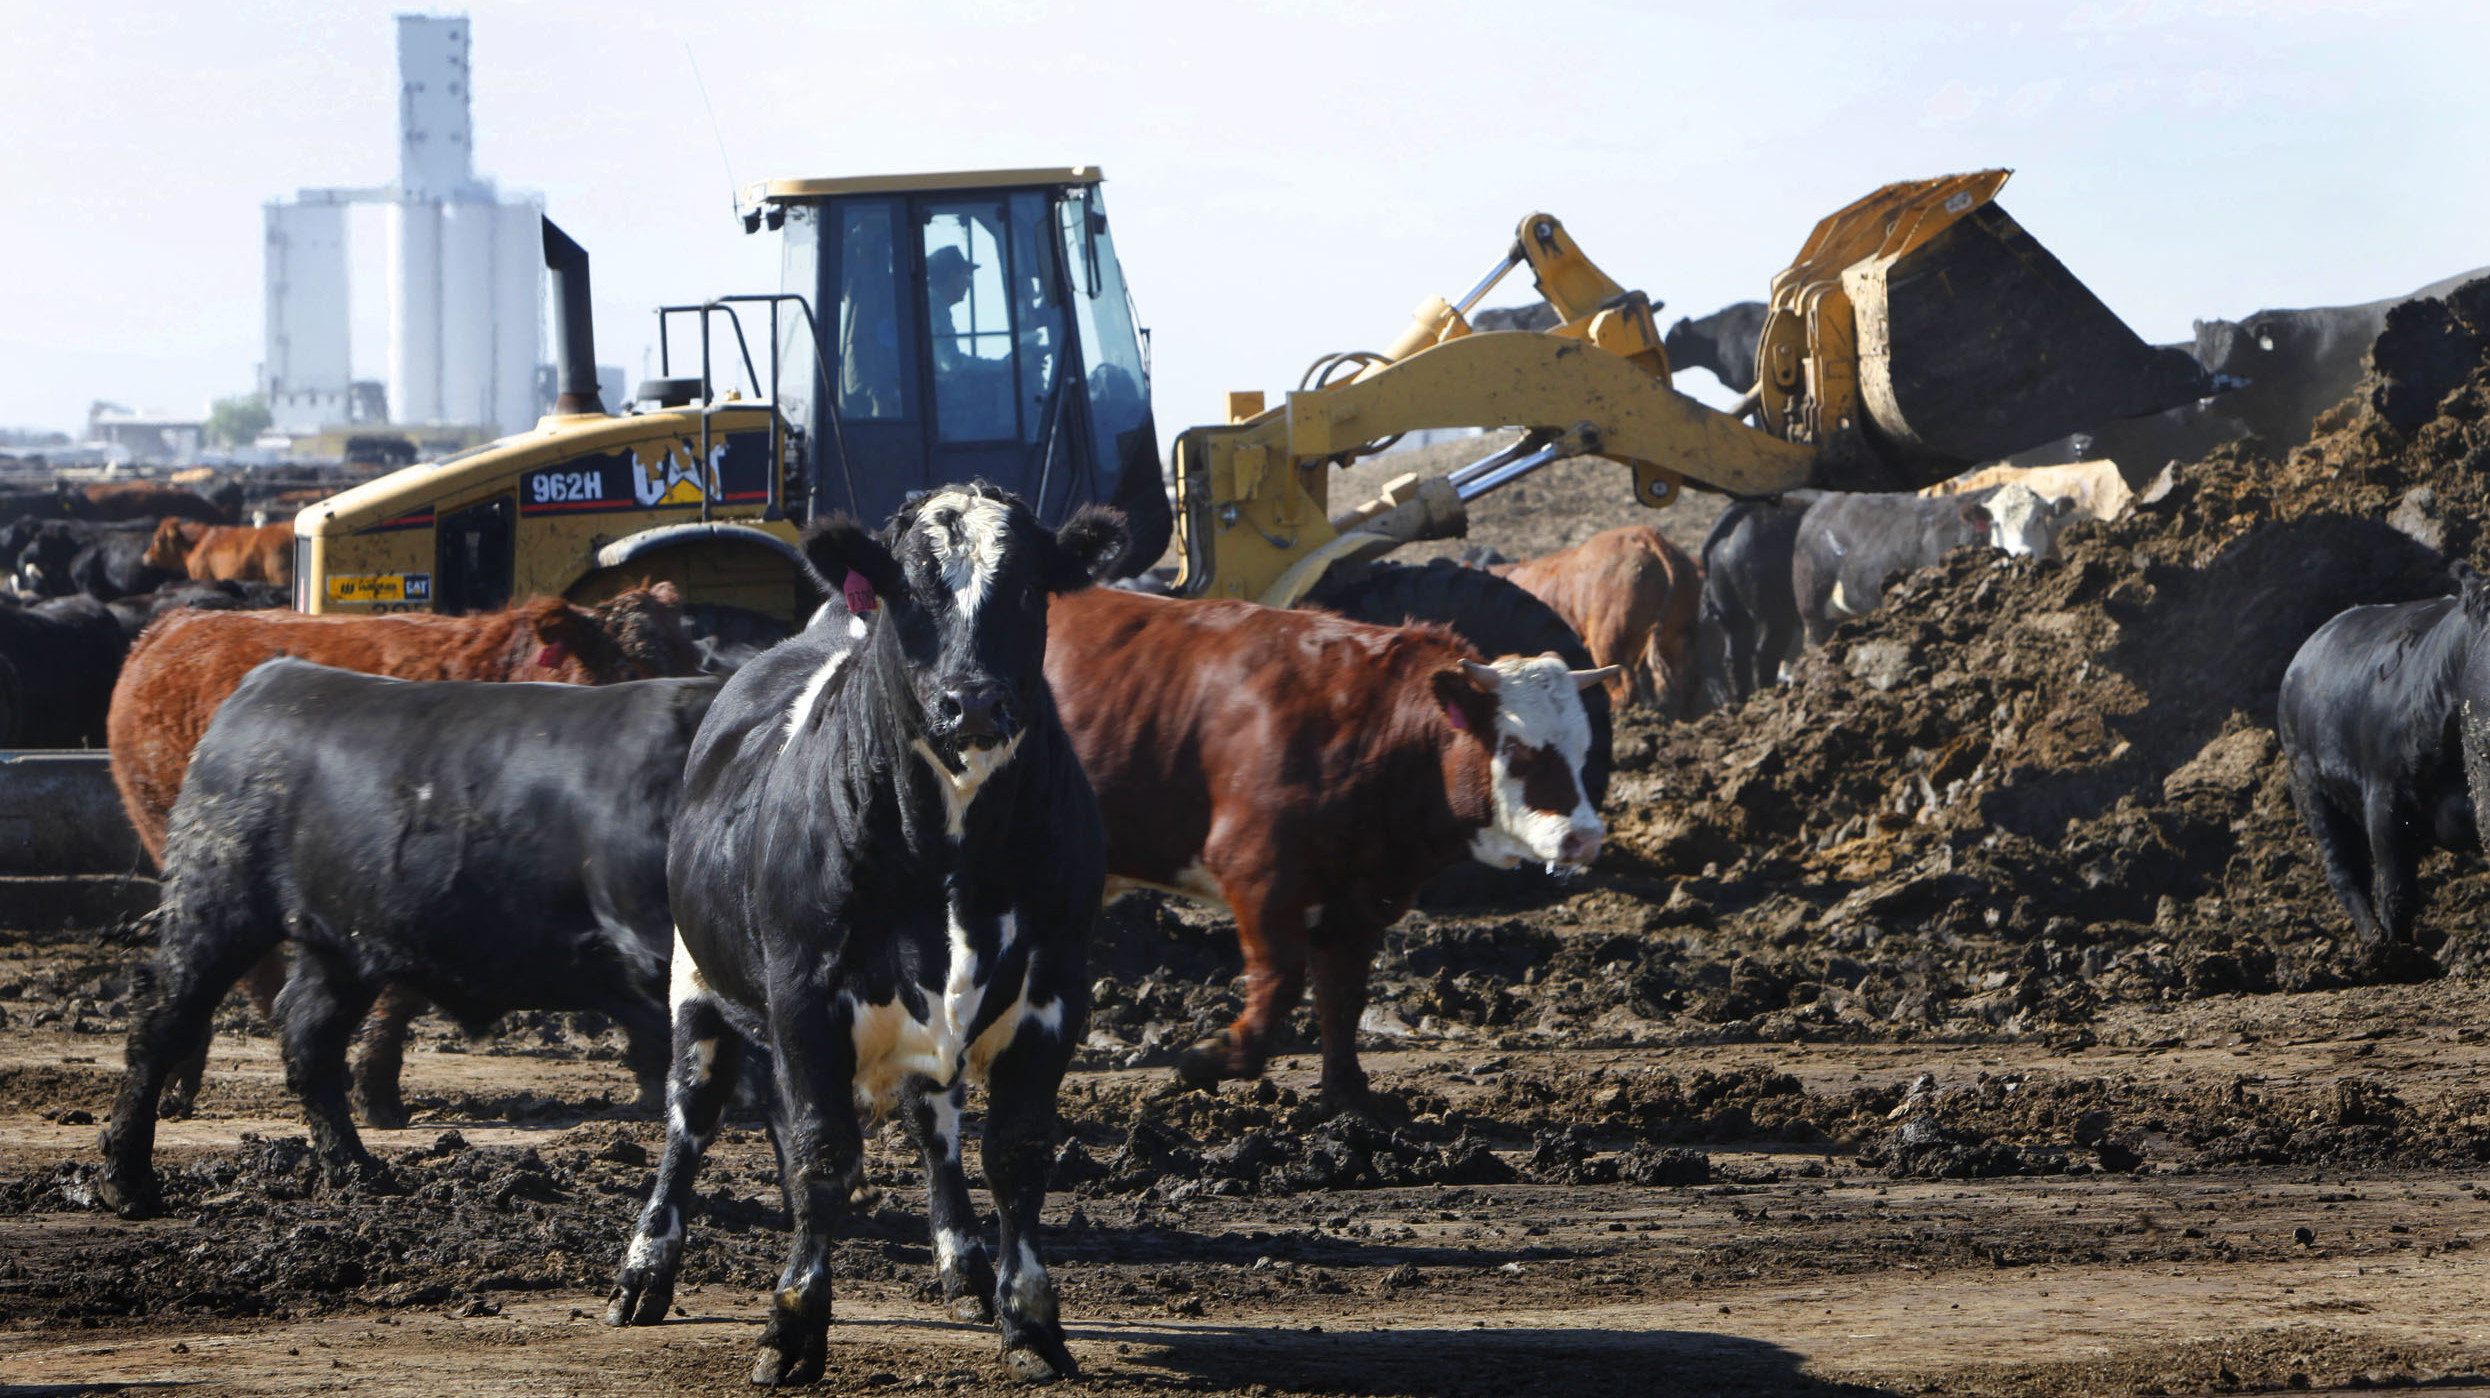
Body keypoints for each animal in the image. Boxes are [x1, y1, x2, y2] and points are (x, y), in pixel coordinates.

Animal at [96, 661, 721, 1220]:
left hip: (341, 944)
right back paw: (127, 1182)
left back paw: (355, 1170)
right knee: (164, 1022)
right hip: (217, 904)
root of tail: (269, 679)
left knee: (307, 1034)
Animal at [606, 485, 1126, 1387]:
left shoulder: (1055, 992)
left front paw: (1029, 1322)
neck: (950, 853)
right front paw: (791, 1324)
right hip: (695, 984)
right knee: (689, 1117)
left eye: (1030, 588)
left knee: (934, 1122)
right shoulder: (804, 996)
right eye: (906, 590)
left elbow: (1017, 1155)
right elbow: (823, 1158)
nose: (973, 702)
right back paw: (646, 1270)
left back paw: (963, 1264)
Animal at [1045, 586, 1614, 1115]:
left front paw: (1349, 1092)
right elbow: (1280, 981)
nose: (1585, 837)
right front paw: (1212, 1057)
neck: (1372, 730)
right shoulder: (1258, 875)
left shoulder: (1360, 900)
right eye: (1516, 747)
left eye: (1584, 749)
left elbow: (1344, 996)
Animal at [2284, 572, 2485, 949]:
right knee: (2346, 872)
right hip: (2313, 793)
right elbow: (2395, 890)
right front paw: (2401, 949)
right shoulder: (2384, 797)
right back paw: (2375, 942)